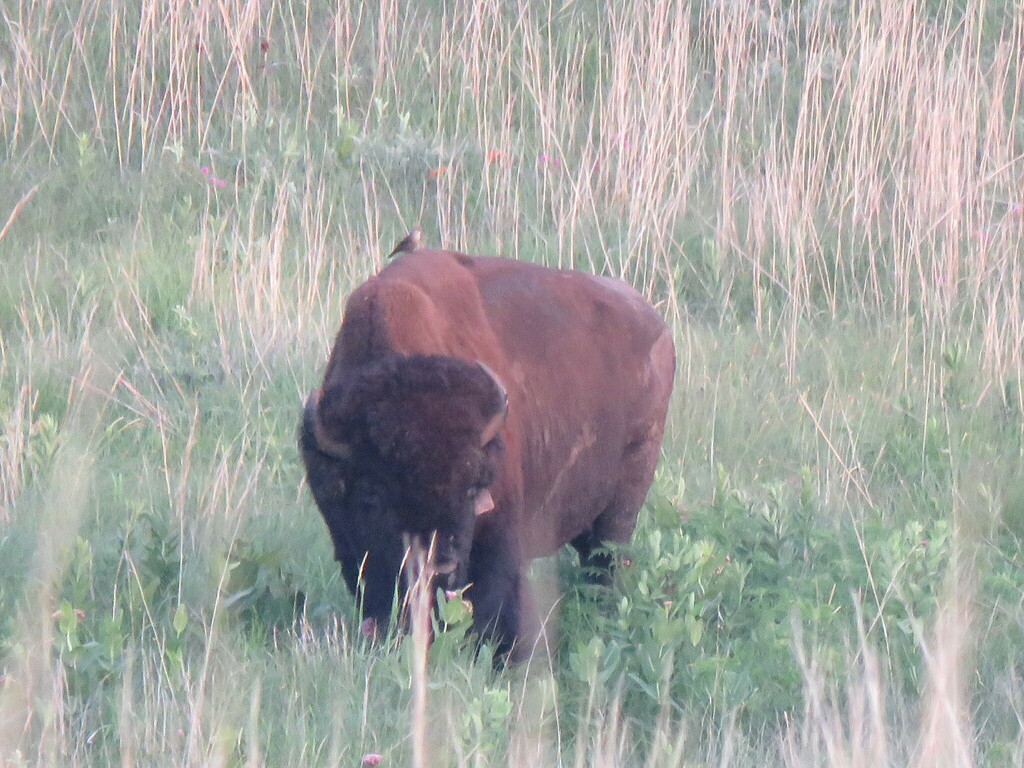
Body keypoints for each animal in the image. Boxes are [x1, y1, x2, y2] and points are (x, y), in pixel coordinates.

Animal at [300, 232, 674, 661]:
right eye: (373, 496)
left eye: (472, 487)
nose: (439, 568)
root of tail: (656, 323)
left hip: (625, 499)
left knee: (608, 560)